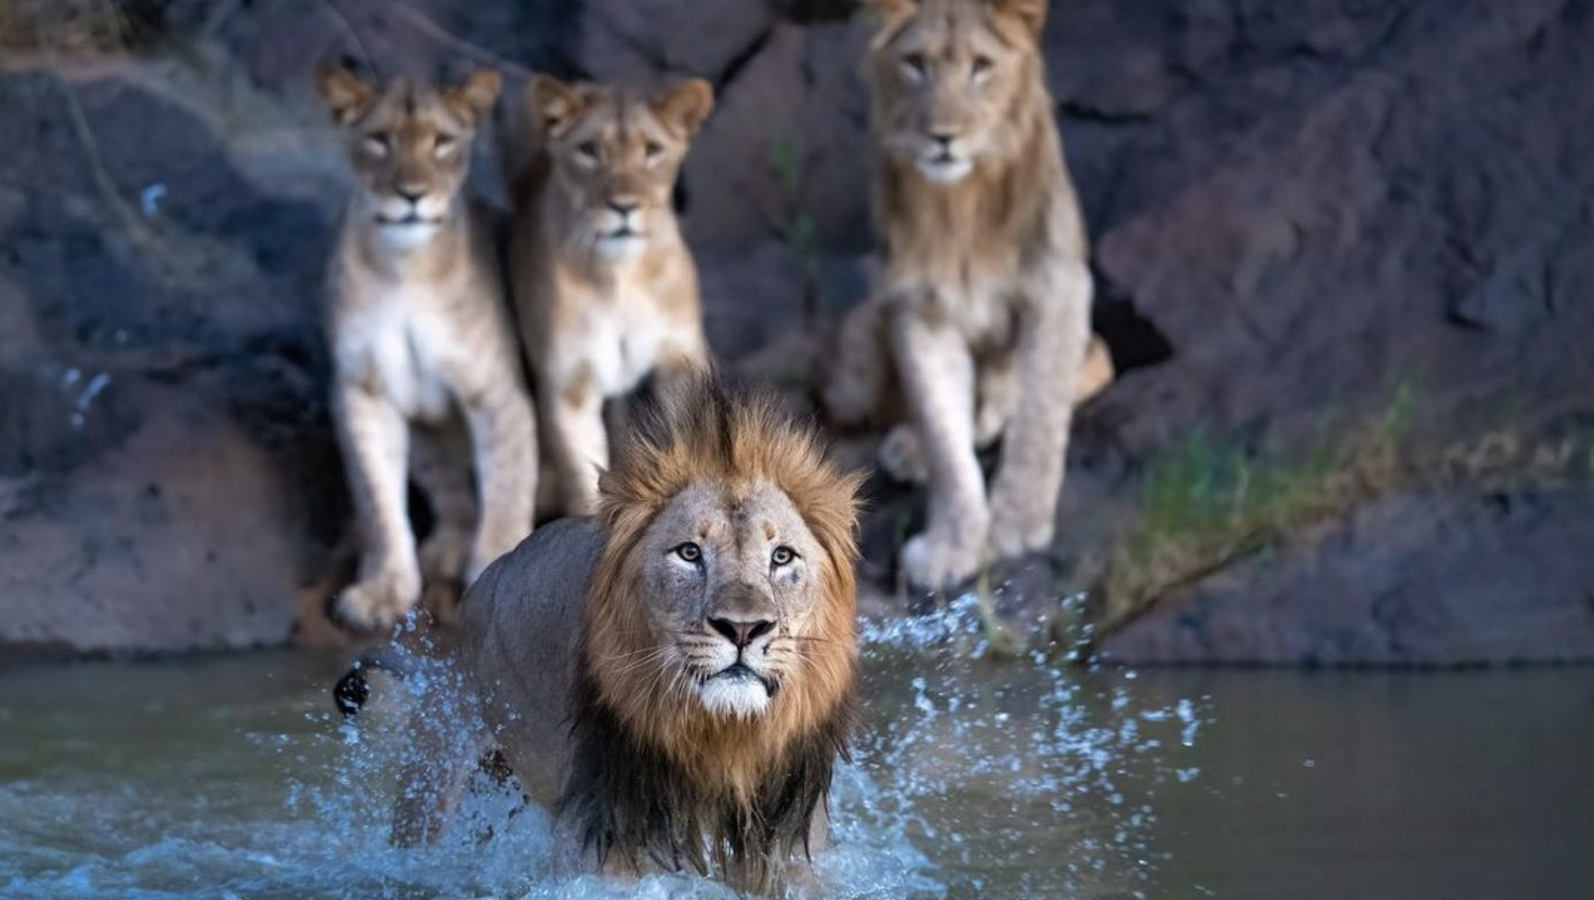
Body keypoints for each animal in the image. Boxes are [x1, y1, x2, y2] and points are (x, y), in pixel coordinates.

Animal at [315, 64, 537, 630]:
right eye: (379, 139)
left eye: (442, 142)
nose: (411, 195)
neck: (405, 268)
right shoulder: (363, 392)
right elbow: (377, 499)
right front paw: (382, 589)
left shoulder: (497, 392)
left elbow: (507, 486)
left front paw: (497, 568)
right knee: (453, 497)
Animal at [337, 376, 864, 894]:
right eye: (689, 553)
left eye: (781, 557)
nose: (743, 628)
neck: (723, 742)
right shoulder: (594, 838)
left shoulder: (792, 847)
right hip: (435, 776)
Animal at [504, 74, 716, 518]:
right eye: (588, 150)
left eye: (652, 150)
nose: (623, 207)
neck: (621, 278)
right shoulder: (569, 385)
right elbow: (581, 470)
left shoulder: (681, 359)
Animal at [821, 0, 1103, 589]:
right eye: (916, 64)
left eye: (981, 67)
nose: (942, 137)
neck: (961, 205)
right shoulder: (918, 309)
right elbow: (943, 433)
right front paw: (953, 546)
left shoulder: (1059, 286)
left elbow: (1040, 411)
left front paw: (1018, 524)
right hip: (850, 374)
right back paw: (908, 448)